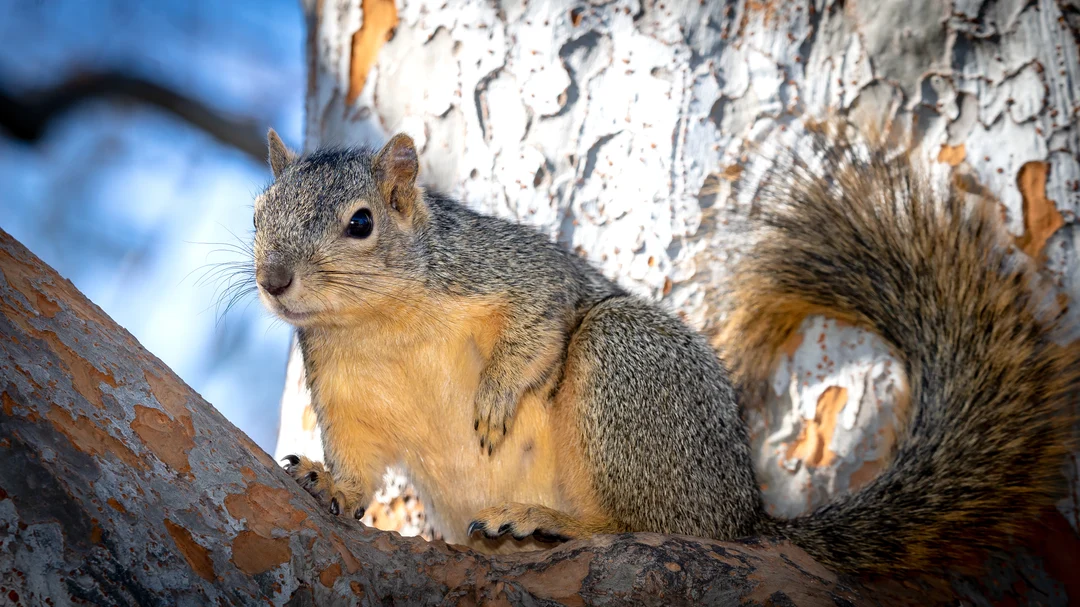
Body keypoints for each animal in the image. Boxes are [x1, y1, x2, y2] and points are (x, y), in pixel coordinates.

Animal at [252, 120, 1077, 575]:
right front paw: (327, 484)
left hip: (626, 362)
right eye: (259, 211)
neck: (378, 321)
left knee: (653, 524)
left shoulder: (510, 272)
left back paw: (547, 521)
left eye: (361, 223)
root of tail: (746, 513)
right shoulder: (345, 389)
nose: (273, 279)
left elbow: (541, 317)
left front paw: (495, 395)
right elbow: (358, 463)